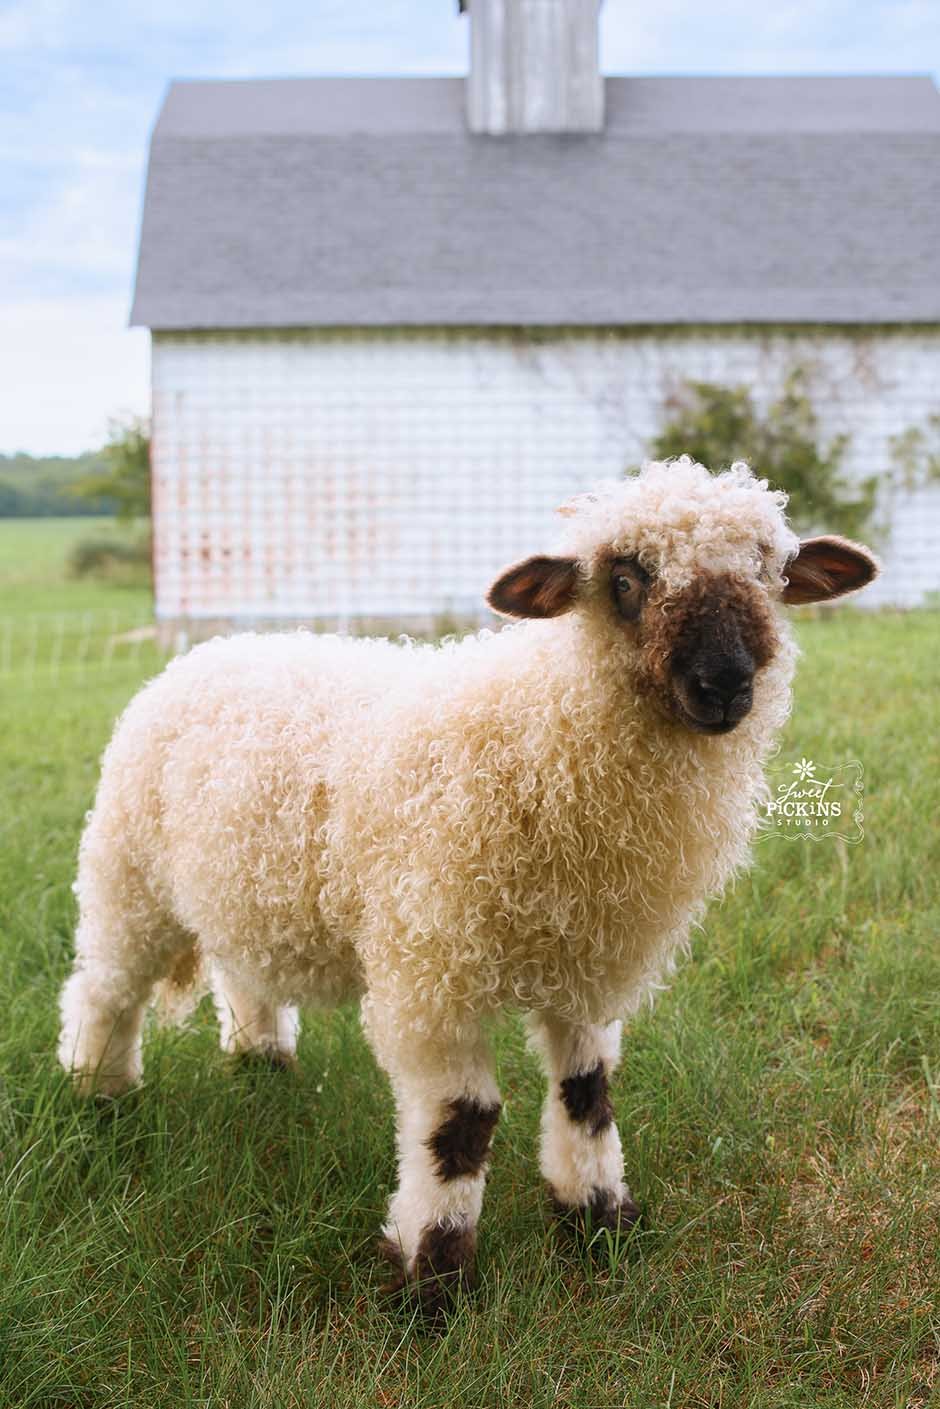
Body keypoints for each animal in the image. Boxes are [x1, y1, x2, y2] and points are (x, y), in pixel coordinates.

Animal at [58, 457, 879, 1313]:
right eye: (625, 579)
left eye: (769, 571)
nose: (724, 685)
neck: (542, 736)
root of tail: (205, 652)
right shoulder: (431, 972)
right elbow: (462, 1122)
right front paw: (432, 1275)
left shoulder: (583, 962)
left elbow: (587, 1092)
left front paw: (598, 1220)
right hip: (128, 874)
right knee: (104, 988)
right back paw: (99, 1093)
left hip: (245, 882)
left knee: (243, 972)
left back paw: (261, 1062)